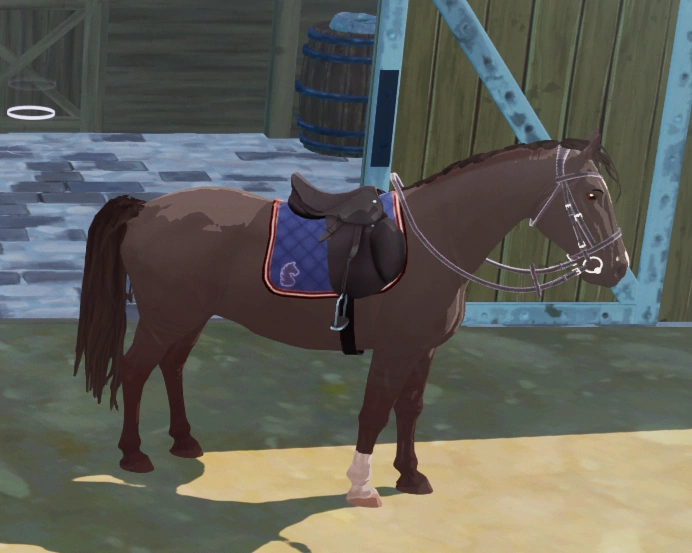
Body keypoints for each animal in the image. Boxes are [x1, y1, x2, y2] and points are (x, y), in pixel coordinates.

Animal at [74, 130, 628, 508]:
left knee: (171, 367)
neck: (436, 237)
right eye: (593, 194)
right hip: (166, 318)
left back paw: (184, 441)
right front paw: (362, 486)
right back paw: (132, 455)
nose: (617, 266)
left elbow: (410, 409)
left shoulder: (422, 350)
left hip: (190, 317)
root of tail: (146, 210)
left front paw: (410, 476)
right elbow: (375, 411)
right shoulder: (395, 349)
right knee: (134, 371)